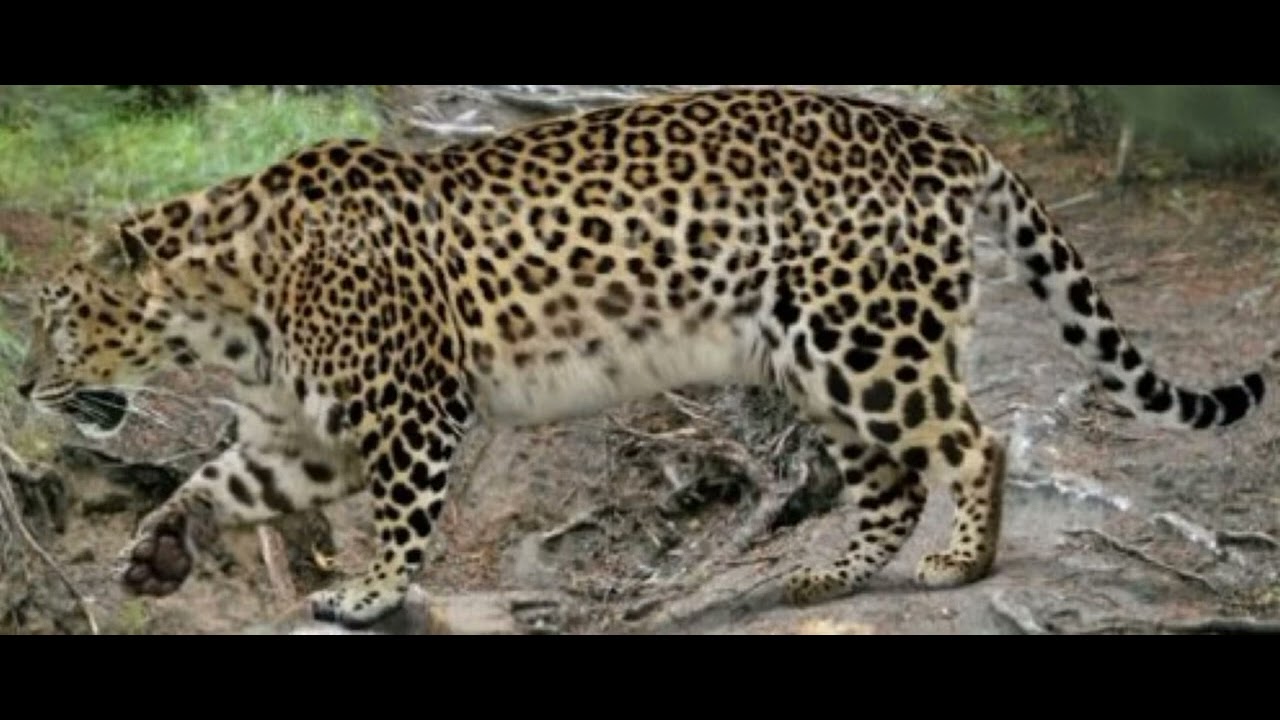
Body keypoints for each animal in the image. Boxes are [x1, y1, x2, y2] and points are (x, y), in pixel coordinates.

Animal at [16, 87, 1267, 629]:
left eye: (61, 315)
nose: (22, 383)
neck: (229, 306)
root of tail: (936, 131)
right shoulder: (294, 431)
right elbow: (213, 480)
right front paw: (155, 552)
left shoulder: (410, 408)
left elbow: (402, 516)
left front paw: (369, 591)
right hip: (814, 361)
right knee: (887, 474)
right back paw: (829, 577)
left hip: (862, 337)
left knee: (971, 436)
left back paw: (958, 564)